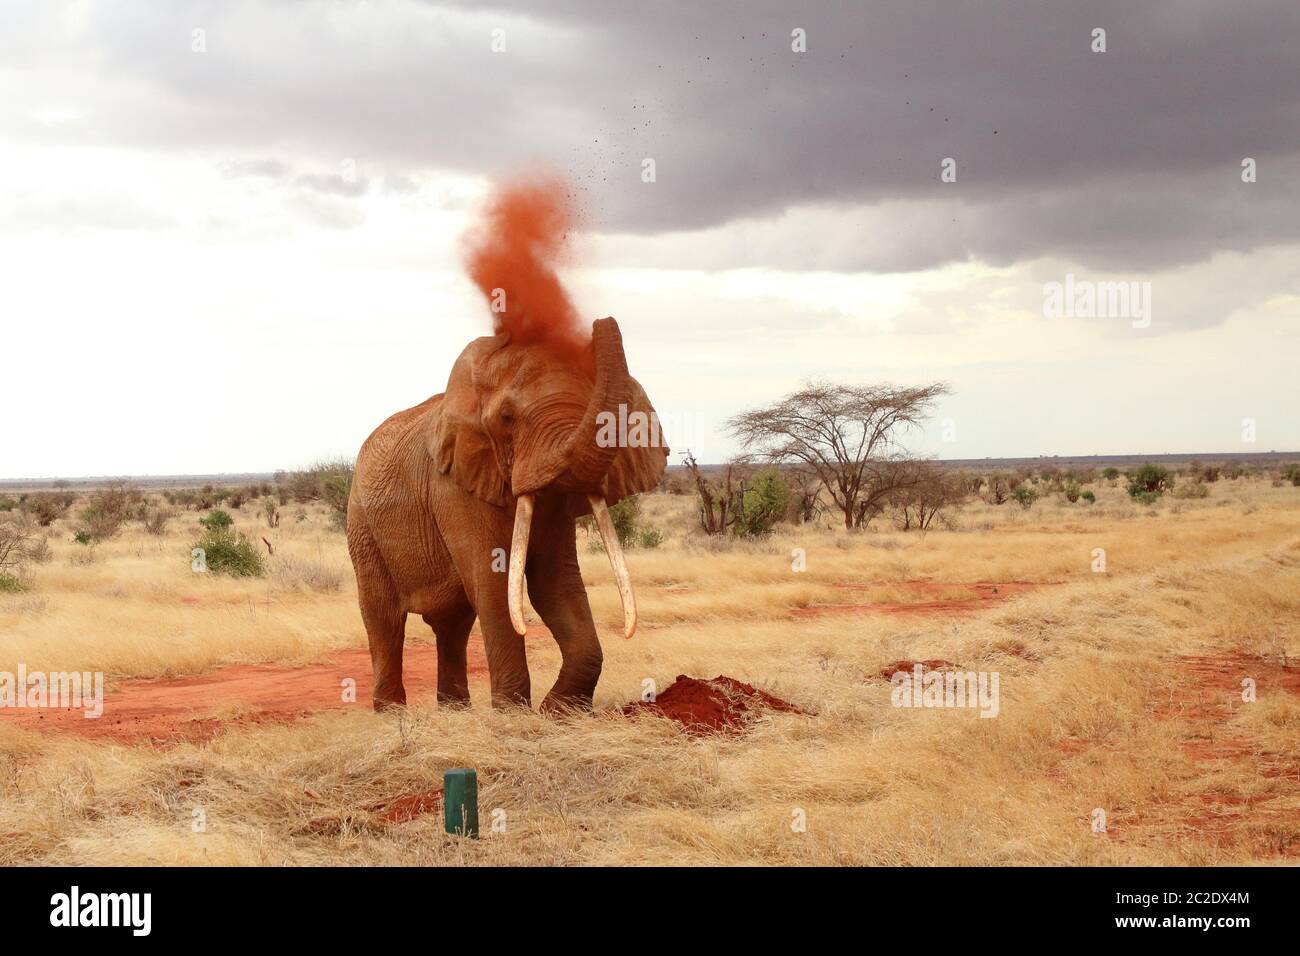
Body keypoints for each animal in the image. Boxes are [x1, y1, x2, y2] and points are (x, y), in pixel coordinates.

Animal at [346, 317, 667, 713]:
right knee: (384, 617)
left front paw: (556, 712)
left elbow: (555, 581)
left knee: (452, 625)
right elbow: (493, 583)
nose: (601, 321)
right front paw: (514, 716)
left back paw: (455, 712)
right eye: (506, 418)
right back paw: (393, 714)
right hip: (362, 526)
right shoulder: (453, 489)